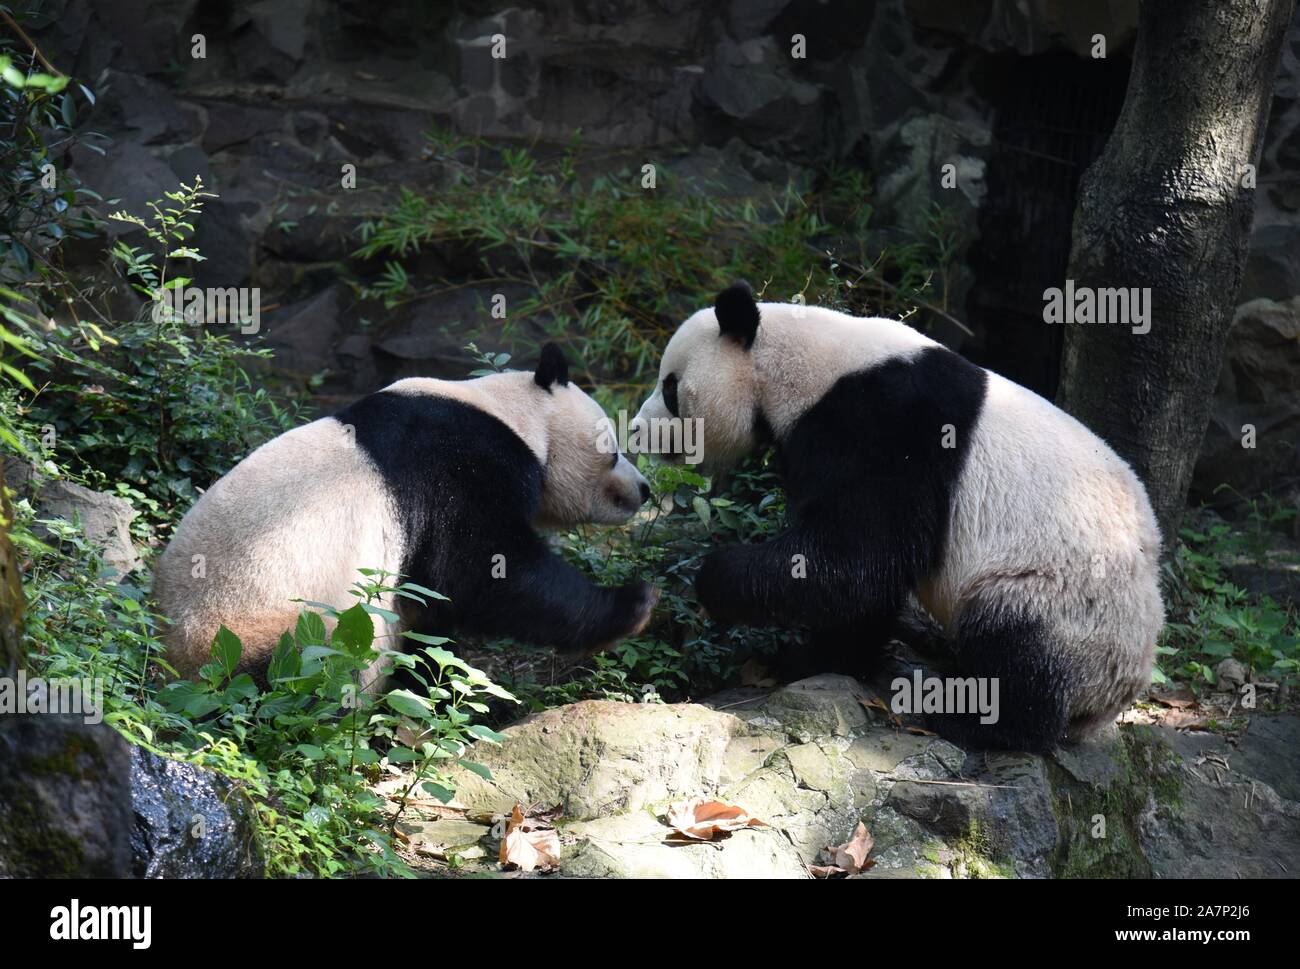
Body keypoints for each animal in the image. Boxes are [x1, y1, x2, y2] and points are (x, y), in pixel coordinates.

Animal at [155, 344, 657, 684]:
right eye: (613, 451)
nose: (645, 490)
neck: (510, 413)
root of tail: (174, 660)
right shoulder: (454, 468)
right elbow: (486, 570)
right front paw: (633, 604)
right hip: (280, 627)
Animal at [632, 282, 1165, 752]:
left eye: (671, 389)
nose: (637, 430)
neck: (801, 365)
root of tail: (1113, 697)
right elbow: (863, 581)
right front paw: (831, 658)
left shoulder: (885, 427)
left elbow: (854, 559)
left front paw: (722, 586)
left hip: (1066, 597)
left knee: (1020, 650)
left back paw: (969, 717)